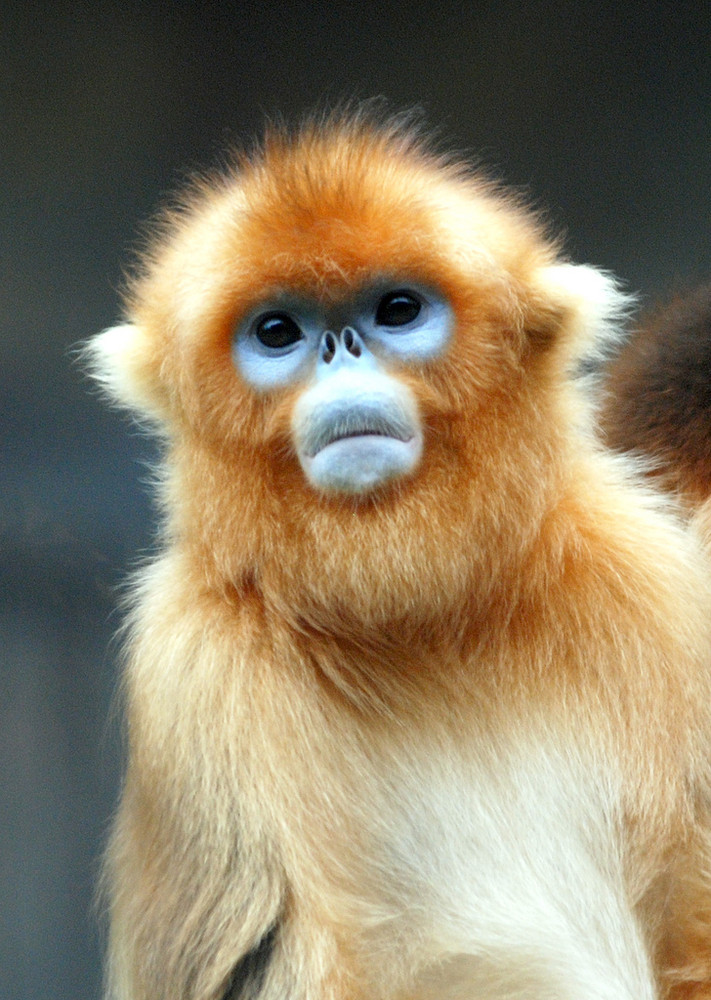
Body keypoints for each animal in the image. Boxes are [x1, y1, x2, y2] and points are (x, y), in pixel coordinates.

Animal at [88, 109, 711, 1000]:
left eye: (397, 310)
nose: (342, 349)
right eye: (276, 332)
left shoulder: (653, 587)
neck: (426, 627)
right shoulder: (193, 669)